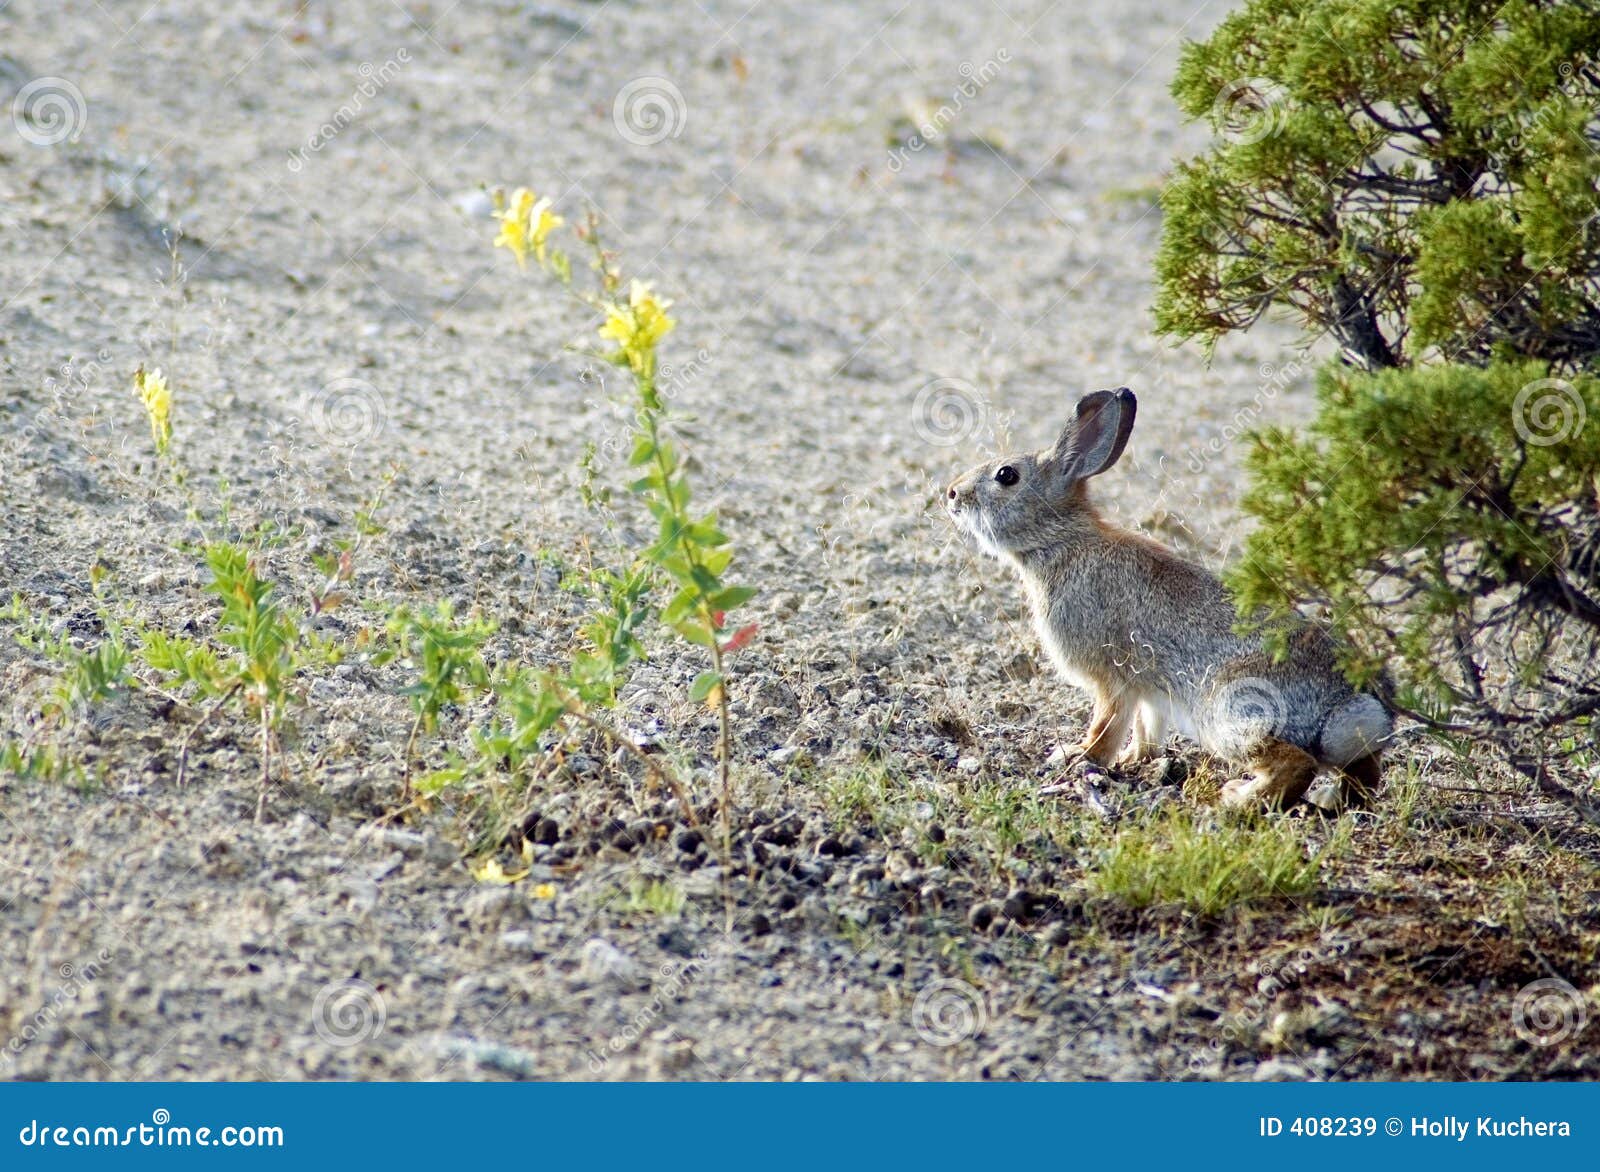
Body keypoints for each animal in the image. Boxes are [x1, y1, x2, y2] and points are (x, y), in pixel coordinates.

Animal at [944, 387, 1390, 811]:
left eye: (1007, 475)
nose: (951, 493)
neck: (1060, 540)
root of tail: (1343, 706)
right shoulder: (1149, 691)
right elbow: (1146, 729)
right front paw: (1136, 761)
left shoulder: (1109, 676)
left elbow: (1105, 725)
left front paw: (1077, 756)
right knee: (1363, 773)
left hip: (1228, 710)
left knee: (1295, 762)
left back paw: (1238, 799)